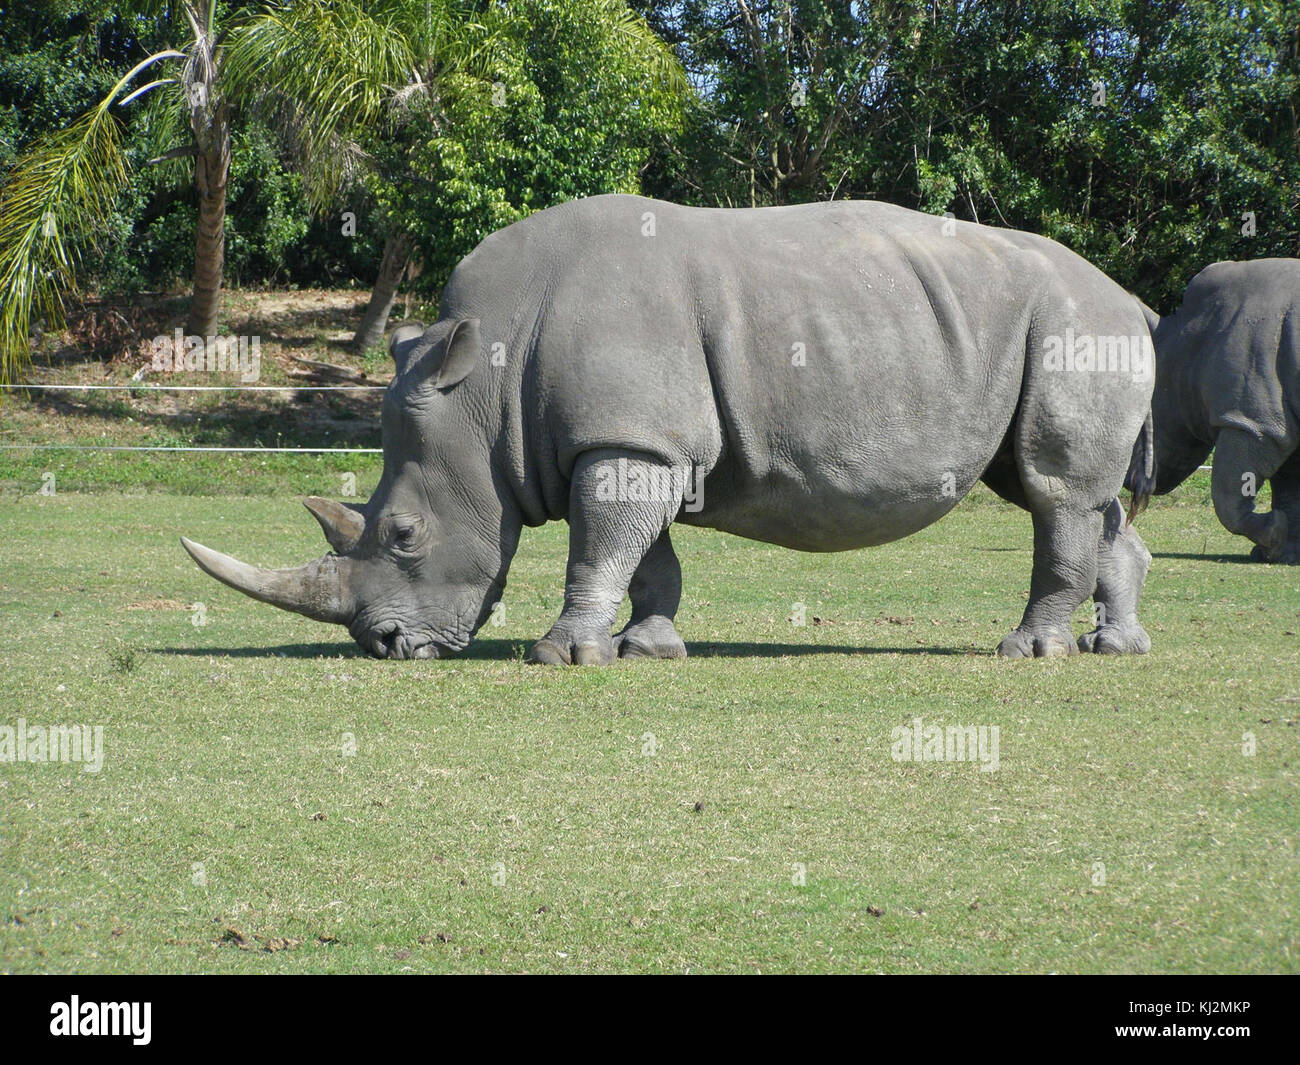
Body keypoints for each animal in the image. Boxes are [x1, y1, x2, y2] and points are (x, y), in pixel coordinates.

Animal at [181, 194, 1155, 662]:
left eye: (405, 534)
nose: (384, 646)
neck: (485, 380)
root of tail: (1135, 300)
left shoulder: (625, 437)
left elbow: (596, 543)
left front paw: (562, 655)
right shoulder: (635, 438)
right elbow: (643, 553)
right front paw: (645, 648)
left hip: (1073, 324)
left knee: (1055, 489)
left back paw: (1030, 652)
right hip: (1055, 329)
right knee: (1074, 494)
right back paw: (1114, 647)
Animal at [1139, 259, 1300, 563]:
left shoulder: (1250, 421)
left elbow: (1226, 495)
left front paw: (1272, 534)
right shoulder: (1277, 419)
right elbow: (1289, 489)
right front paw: (1282, 552)